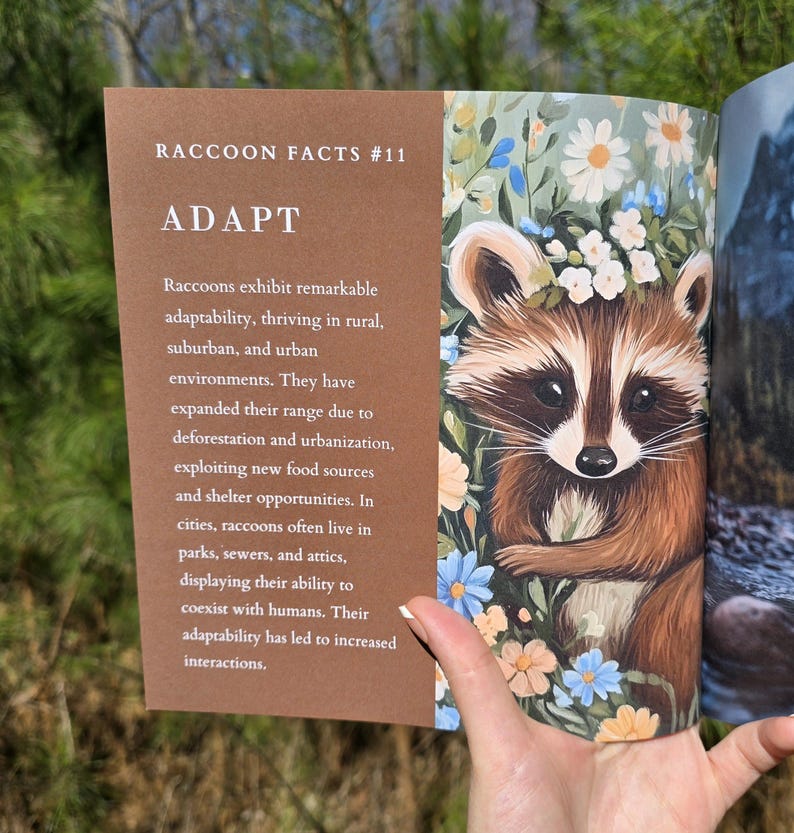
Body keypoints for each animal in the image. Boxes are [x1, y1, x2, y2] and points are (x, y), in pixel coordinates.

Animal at [445, 220, 712, 721]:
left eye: (643, 396)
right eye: (552, 390)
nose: (596, 461)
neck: (585, 484)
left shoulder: (679, 465)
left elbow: (655, 540)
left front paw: (553, 557)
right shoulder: (529, 454)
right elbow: (509, 507)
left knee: (673, 608)